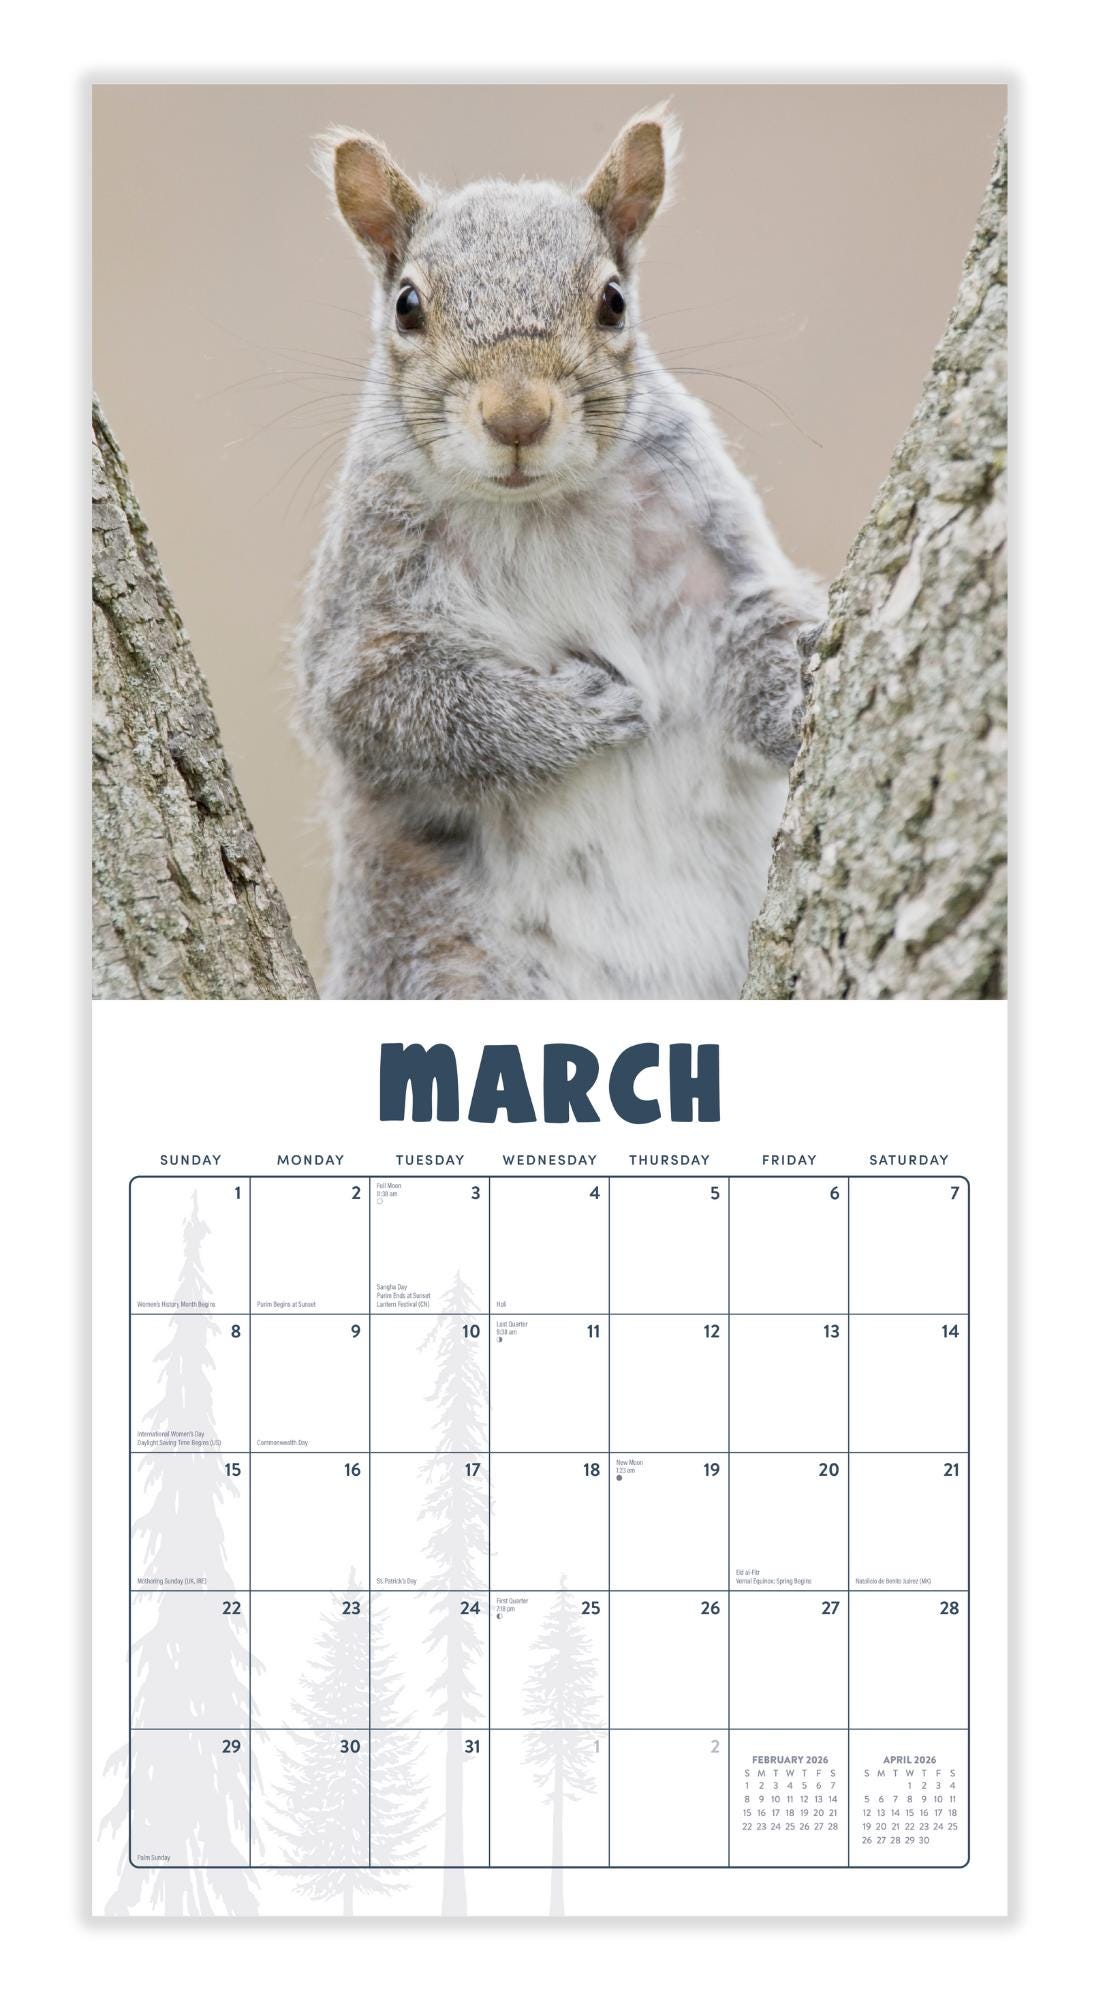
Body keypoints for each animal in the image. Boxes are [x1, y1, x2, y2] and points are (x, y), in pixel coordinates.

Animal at [295, 107, 824, 998]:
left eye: (614, 301)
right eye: (407, 305)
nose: (516, 416)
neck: (538, 510)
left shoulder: (713, 567)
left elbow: (758, 635)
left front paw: (798, 695)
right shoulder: (363, 618)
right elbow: (403, 709)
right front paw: (585, 711)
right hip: (437, 964)